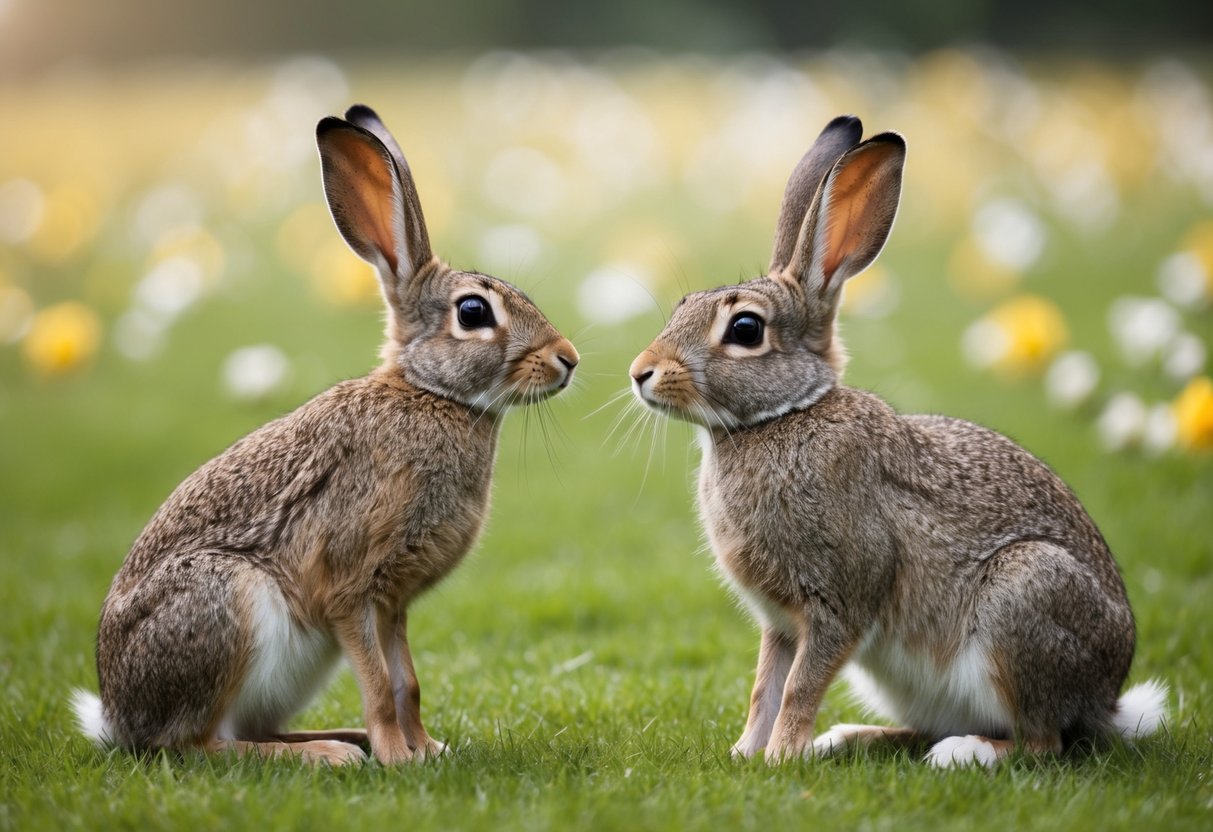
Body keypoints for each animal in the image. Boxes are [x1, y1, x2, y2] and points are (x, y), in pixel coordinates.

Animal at [71, 104, 580, 766]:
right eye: (473, 313)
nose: (568, 359)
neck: (431, 395)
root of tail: (116, 716)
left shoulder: (392, 603)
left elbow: (407, 681)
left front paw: (428, 750)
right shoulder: (350, 587)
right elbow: (382, 685)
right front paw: (399, 758)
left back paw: (339, 741)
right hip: (226, 603)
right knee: (197, 745)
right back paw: (327, 754)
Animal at [628, 115, 1166, 768]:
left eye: (746, 329)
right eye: (681, 305)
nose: (640, 372)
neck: (782, 416)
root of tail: (1105, 700)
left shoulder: (838, 602)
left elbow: (800, 686)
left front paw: (779, 757)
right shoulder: (780, 623)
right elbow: (766, 686)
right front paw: (747, 753)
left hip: (1022, 601)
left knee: (1041, 743)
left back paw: (961, 753)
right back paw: (846, 739)